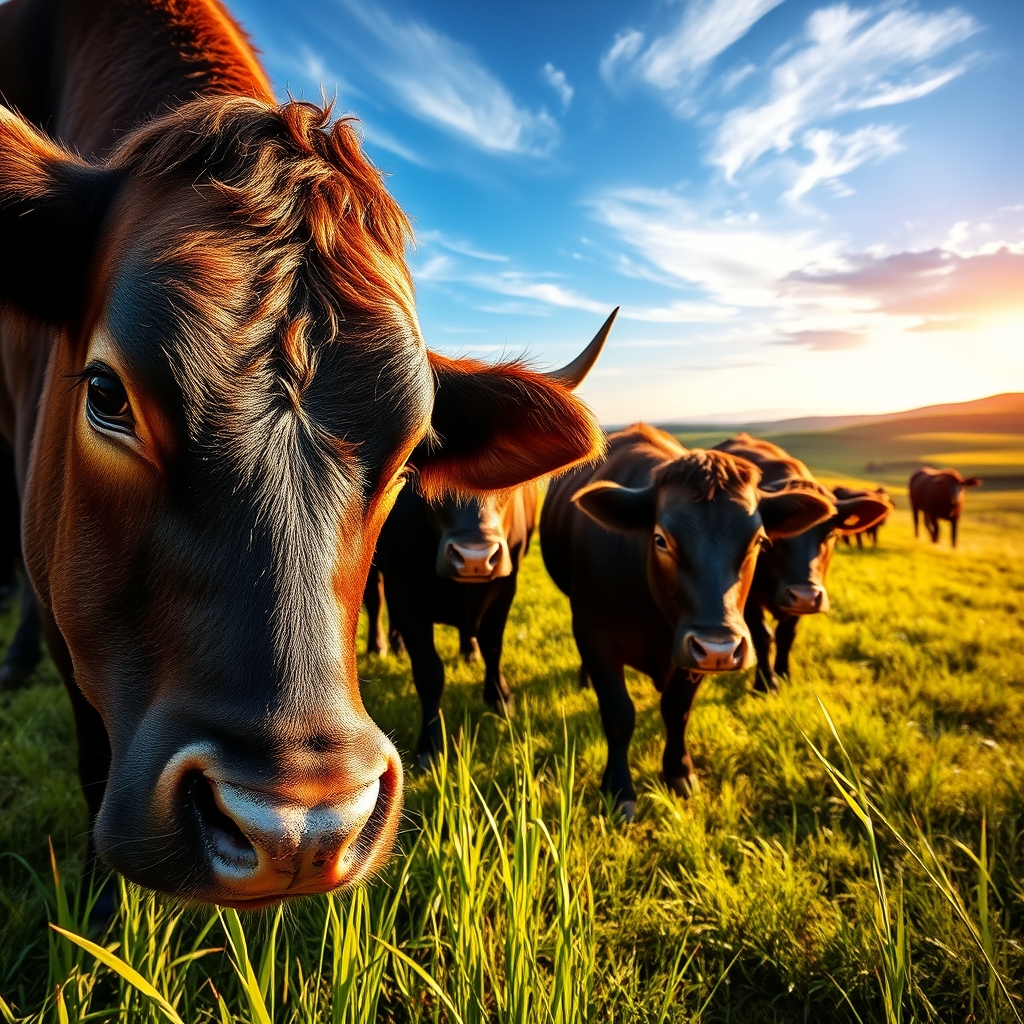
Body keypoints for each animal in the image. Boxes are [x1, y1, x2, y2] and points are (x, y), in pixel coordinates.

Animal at [367, 480, 539, 768]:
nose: (474, 558)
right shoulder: (404, 590)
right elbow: (429, 672)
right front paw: (430, 745)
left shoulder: (505, 586)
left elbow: (493, 647)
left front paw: (500, 698)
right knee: (375, 602)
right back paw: (377, 646)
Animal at [540, 424, 835, 819]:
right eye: (661, 539)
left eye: (759, 541)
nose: (720, 648)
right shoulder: (594, 634)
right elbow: (618, 714)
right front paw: (619, 790)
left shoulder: (694, 654)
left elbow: (676, 708)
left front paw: (679, 773)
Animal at [713, 435, 892, 693]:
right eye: (771, 538)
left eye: (831, 534)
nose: (805, 596)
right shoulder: (748, 597)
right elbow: (763, 635)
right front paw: (764, 684)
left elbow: (787, 633)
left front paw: (783, 674)